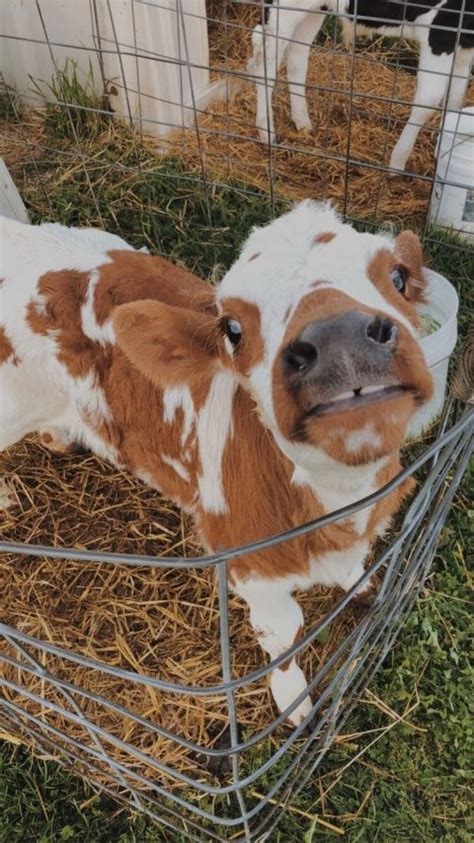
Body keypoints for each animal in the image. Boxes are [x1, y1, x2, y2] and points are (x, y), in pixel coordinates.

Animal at [0, 202, 433, 725]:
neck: (337, 510)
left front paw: (360, 585)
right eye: (233, 329)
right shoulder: (251, 568)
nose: (339, 338)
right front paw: (294, 702)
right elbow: (283, 634)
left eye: (399, 276)